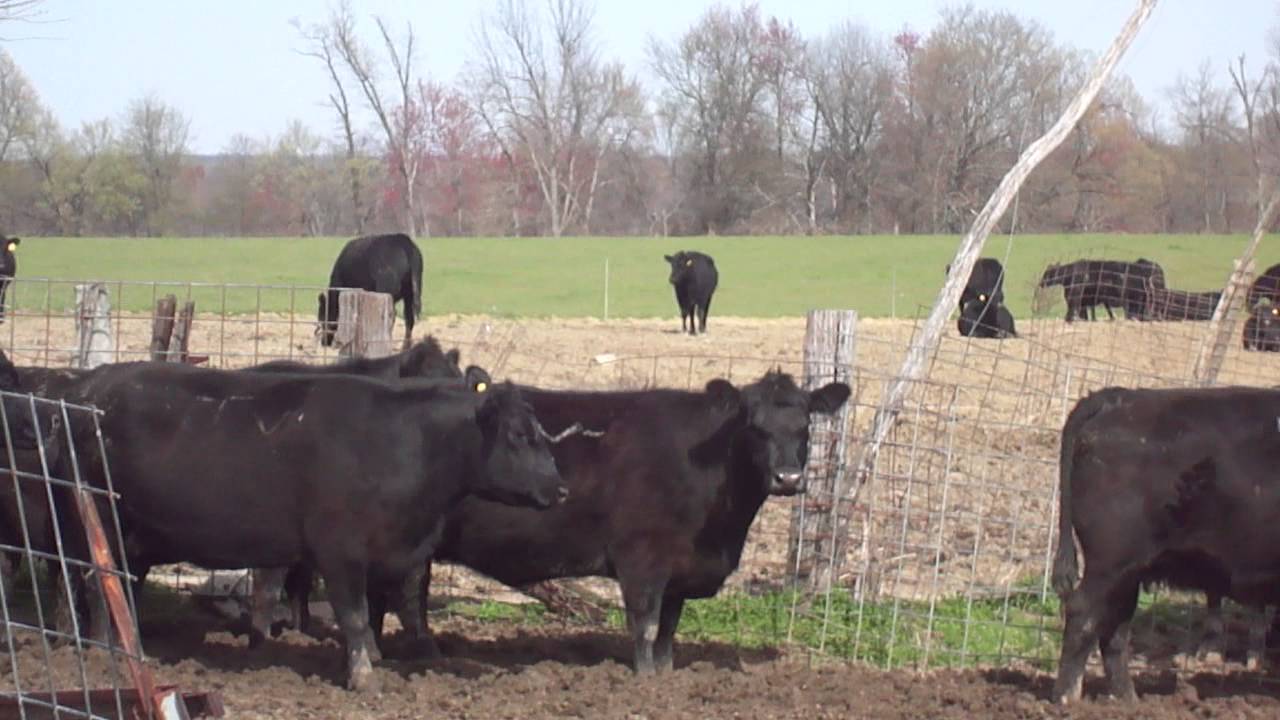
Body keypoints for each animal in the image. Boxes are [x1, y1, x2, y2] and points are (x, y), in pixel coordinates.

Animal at [52, 361, 567, 692]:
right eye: (519, 435)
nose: (561, 489)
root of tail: (86, 387)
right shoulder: (340, 551)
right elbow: (355, 615)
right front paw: (364, 678)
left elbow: (383, 610)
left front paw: (376, 658)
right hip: (99, 517)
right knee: (97, 582)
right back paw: (99, 650)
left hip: (135, 536)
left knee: (121, 586)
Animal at [391, 370, 852, 674]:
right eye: (754, 427)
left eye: (806, 425)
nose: (787, 478)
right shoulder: (642, 559)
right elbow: (645, 627)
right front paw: (644, 681)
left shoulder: (680, 569)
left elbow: (668, 629)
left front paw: (666, 675)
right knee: (408, 595)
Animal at [1051, 386, 1280, 704]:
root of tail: (1120, 396)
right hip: (1109, 563)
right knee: (1082, 613)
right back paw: (1067, 699)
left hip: (1131, 571)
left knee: (1114, 628)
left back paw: (1128, 702)